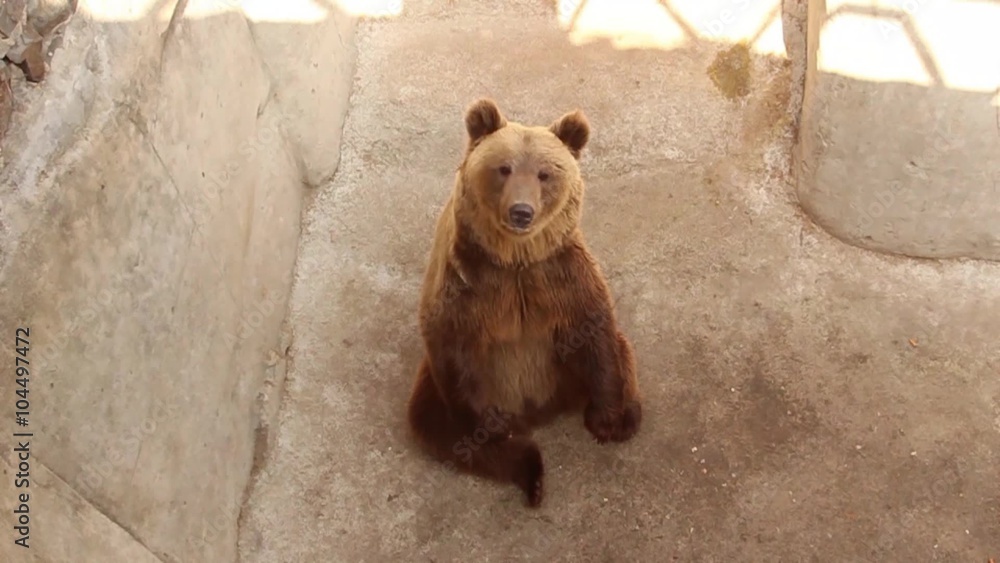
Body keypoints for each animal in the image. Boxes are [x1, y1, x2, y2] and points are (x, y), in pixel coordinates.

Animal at [406, 98, 642, 508]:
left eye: (545, 174)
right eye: (504, 168)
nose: (521, 211)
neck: (515, 258)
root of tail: (538, 408)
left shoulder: (559, 274)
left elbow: (595, 329)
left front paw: (608, 420)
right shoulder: (467, 281)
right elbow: (450, 339)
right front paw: (491, 428)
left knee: (622, 351)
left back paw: (627, 417)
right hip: (435, 390)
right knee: (442, 430)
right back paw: (529, 472)